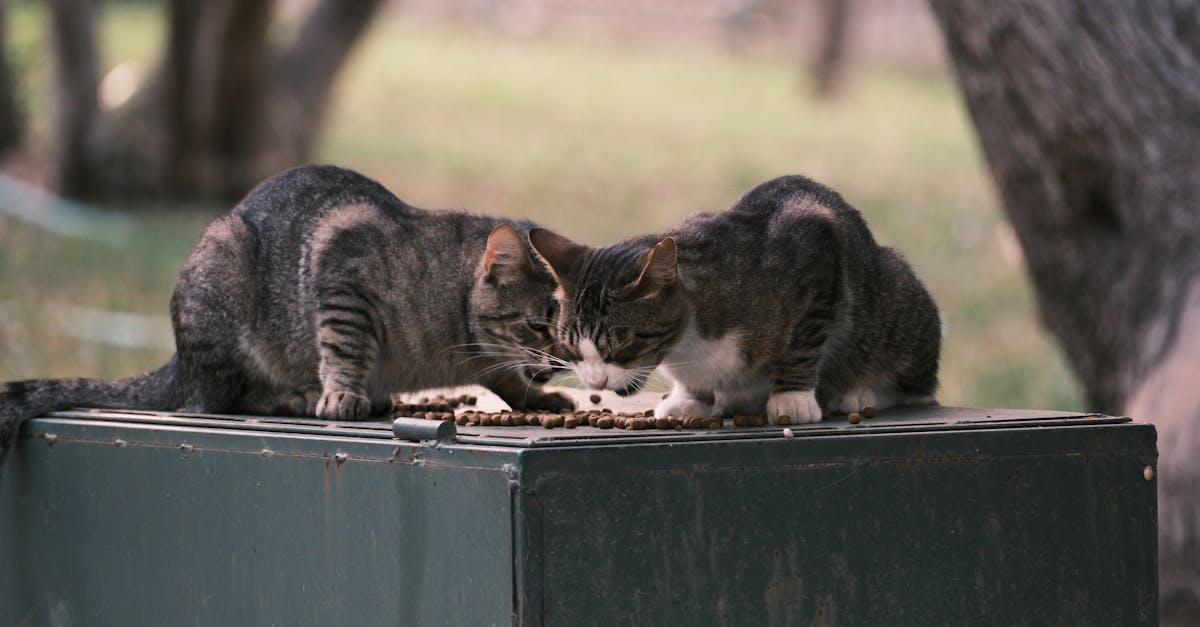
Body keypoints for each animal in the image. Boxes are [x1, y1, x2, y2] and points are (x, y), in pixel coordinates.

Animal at [0, 163, 571, 466]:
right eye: (537, 324)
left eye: (573, 334)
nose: (561, 362)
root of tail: (179, 361)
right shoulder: (343, 275)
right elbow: (345, 346)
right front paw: (342, 393)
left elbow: (508, 378)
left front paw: (538, 396)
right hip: (222, 273)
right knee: (216, 401)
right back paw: (297, 396)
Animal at [530, 172, 940, 422]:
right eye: (572, 347)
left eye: (621, 346)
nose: (596, 382)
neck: (687, 343)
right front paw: (689, 398)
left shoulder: (815, 248)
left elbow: (802, 342)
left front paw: (791, 398)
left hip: (896, 301)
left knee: (917, 388)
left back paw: (862, 393)